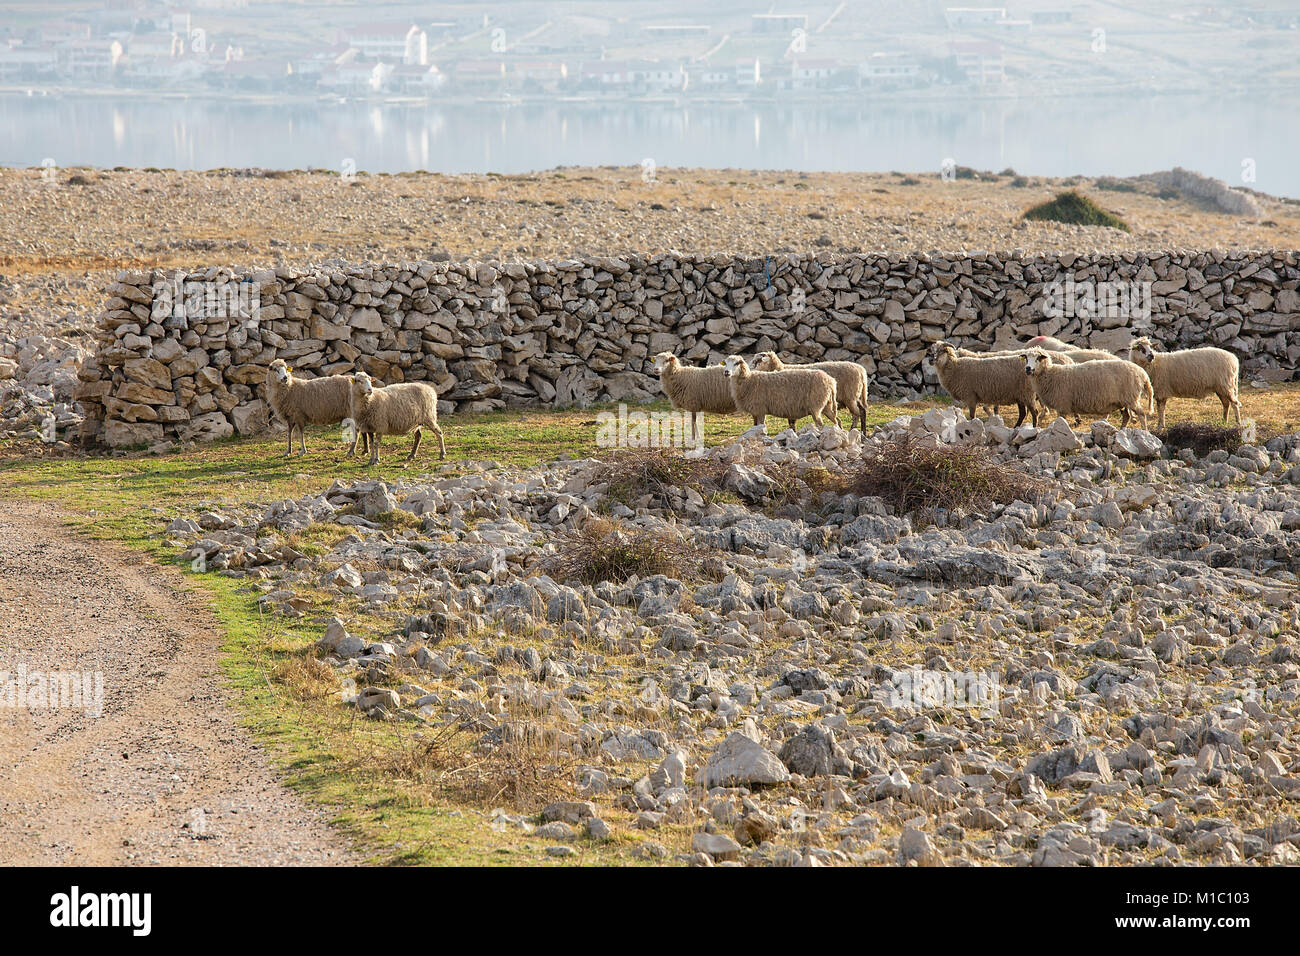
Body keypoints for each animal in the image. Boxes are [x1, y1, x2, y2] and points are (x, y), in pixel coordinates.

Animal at [1022, 348, 1154, 429]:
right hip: (1124, 400)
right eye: (1026, 358)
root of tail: (1142, 373)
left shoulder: (1062, 406)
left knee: (1141, 414)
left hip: (1131, 397)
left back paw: (1144, 430)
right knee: (1126, 416)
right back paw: (1122, 430)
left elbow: (1061, 421)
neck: (1050, 374)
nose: (1028, 368)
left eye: (1038, 358)